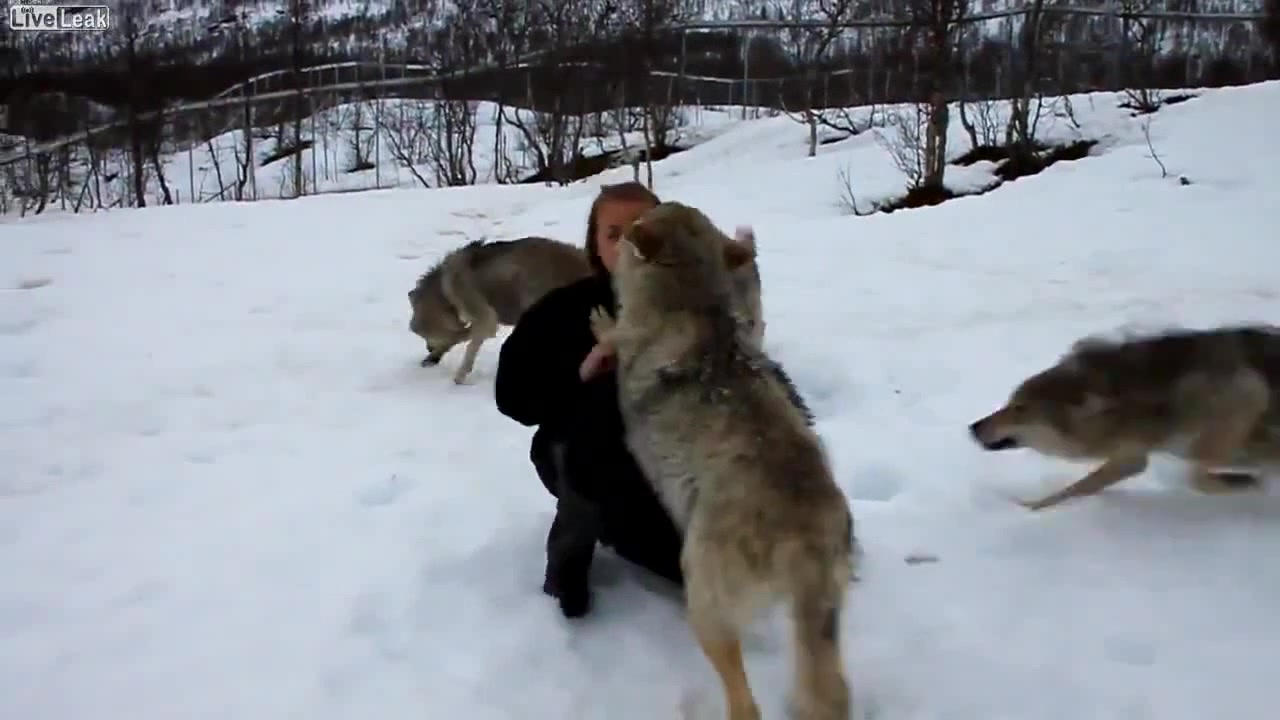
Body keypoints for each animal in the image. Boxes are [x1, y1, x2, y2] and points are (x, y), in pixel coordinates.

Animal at [409, 236, 592, 384]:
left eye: (424, 335)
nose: (428, 348)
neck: (444, 293)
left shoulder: (487, 320)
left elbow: (465, 342)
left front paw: (458, 376)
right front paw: (433, 358)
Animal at [589, 201, 855, 720]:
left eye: (636, 222)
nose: (627, 227)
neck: (695, 305)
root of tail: (806, 536)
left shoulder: (627, 345)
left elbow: (612, 337)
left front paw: (600, 322)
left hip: (705, 600)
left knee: (744, 698)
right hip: (823, 612)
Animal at [969, 325, 1280, 511]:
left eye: (1020, 408)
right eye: (1009, 403)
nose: (973, 427)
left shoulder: (1248, 391)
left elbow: (1196, 477)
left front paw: (1247, 484)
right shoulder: (1131, 456)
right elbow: (1074, 489)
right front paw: (1026, 508)